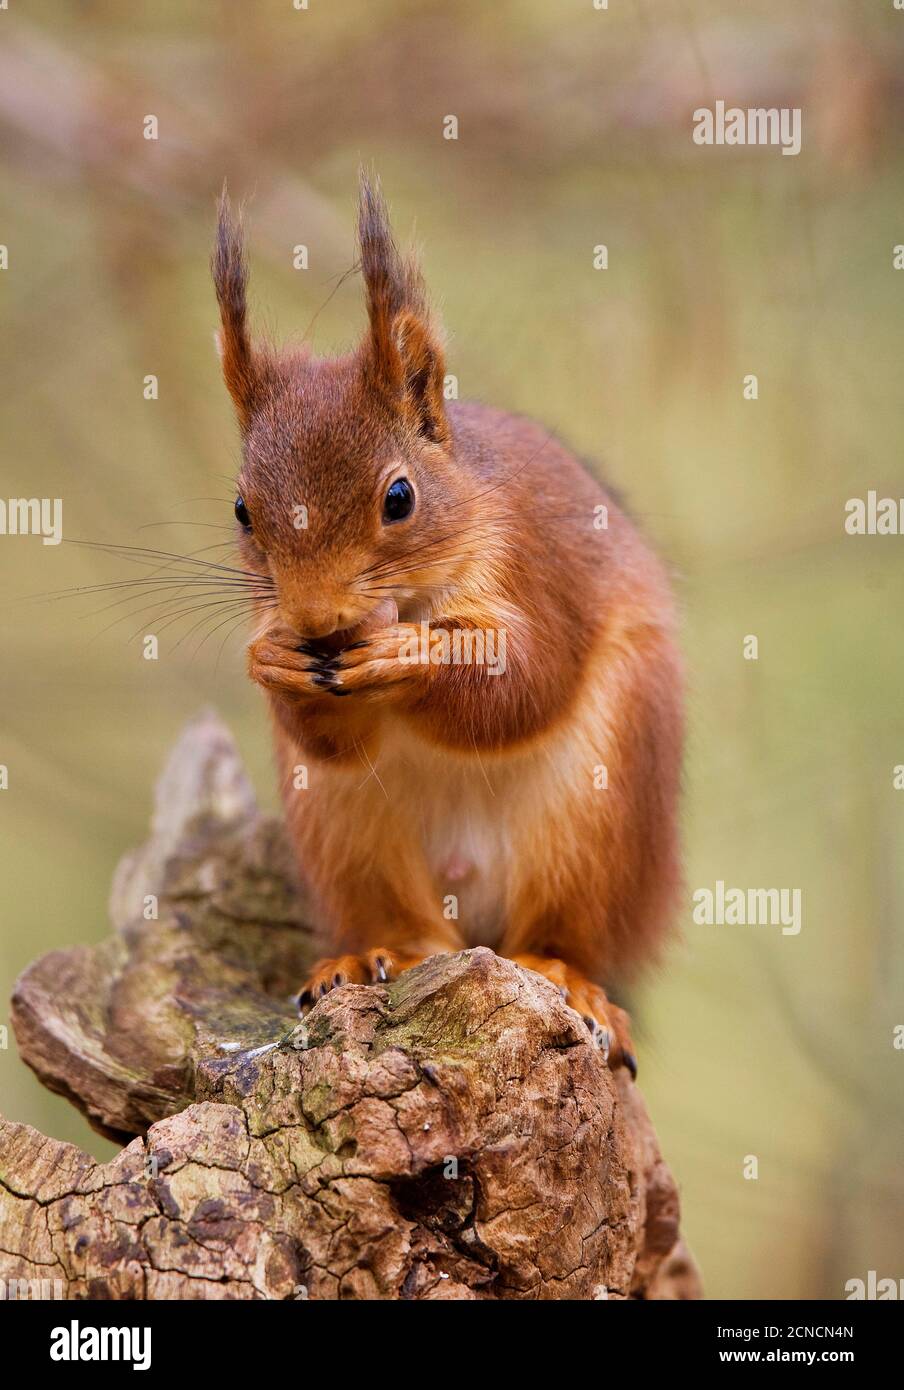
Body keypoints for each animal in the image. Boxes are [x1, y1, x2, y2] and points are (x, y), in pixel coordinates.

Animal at [212, 173, 683, 1075]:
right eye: (243, 510)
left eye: (400, 498)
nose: (315, 620)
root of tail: (474, 924)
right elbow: (327, 732)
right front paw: (271, 662)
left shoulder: (537, 570)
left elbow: (525, 683)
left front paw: (407, 656)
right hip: (345, 833)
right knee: (402, 922)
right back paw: (376, 953)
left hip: (603, 811)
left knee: (565, 927)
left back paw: (561, 973)